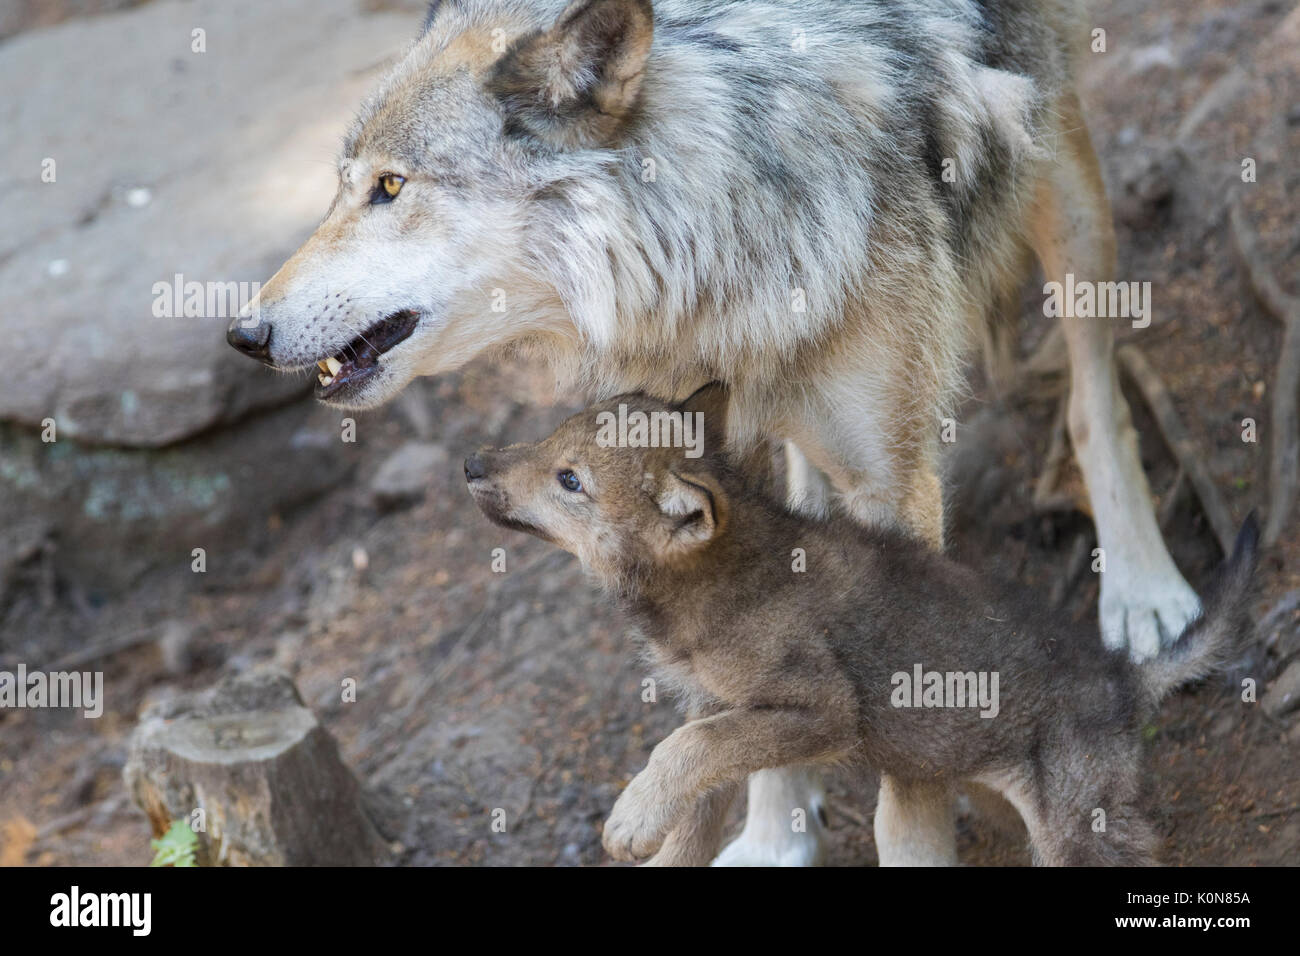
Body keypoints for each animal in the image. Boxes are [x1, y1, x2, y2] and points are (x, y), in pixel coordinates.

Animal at [465, 386, 1259, 866]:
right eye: (552, 437)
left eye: (570, 480)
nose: (474, 462)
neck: (708, 589)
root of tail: (1123, 674)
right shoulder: (718, 707)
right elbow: (692, 809)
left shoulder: (818, 708)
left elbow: (682, 750)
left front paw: (630, 819)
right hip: (1001, 799)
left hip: (1074, 831)